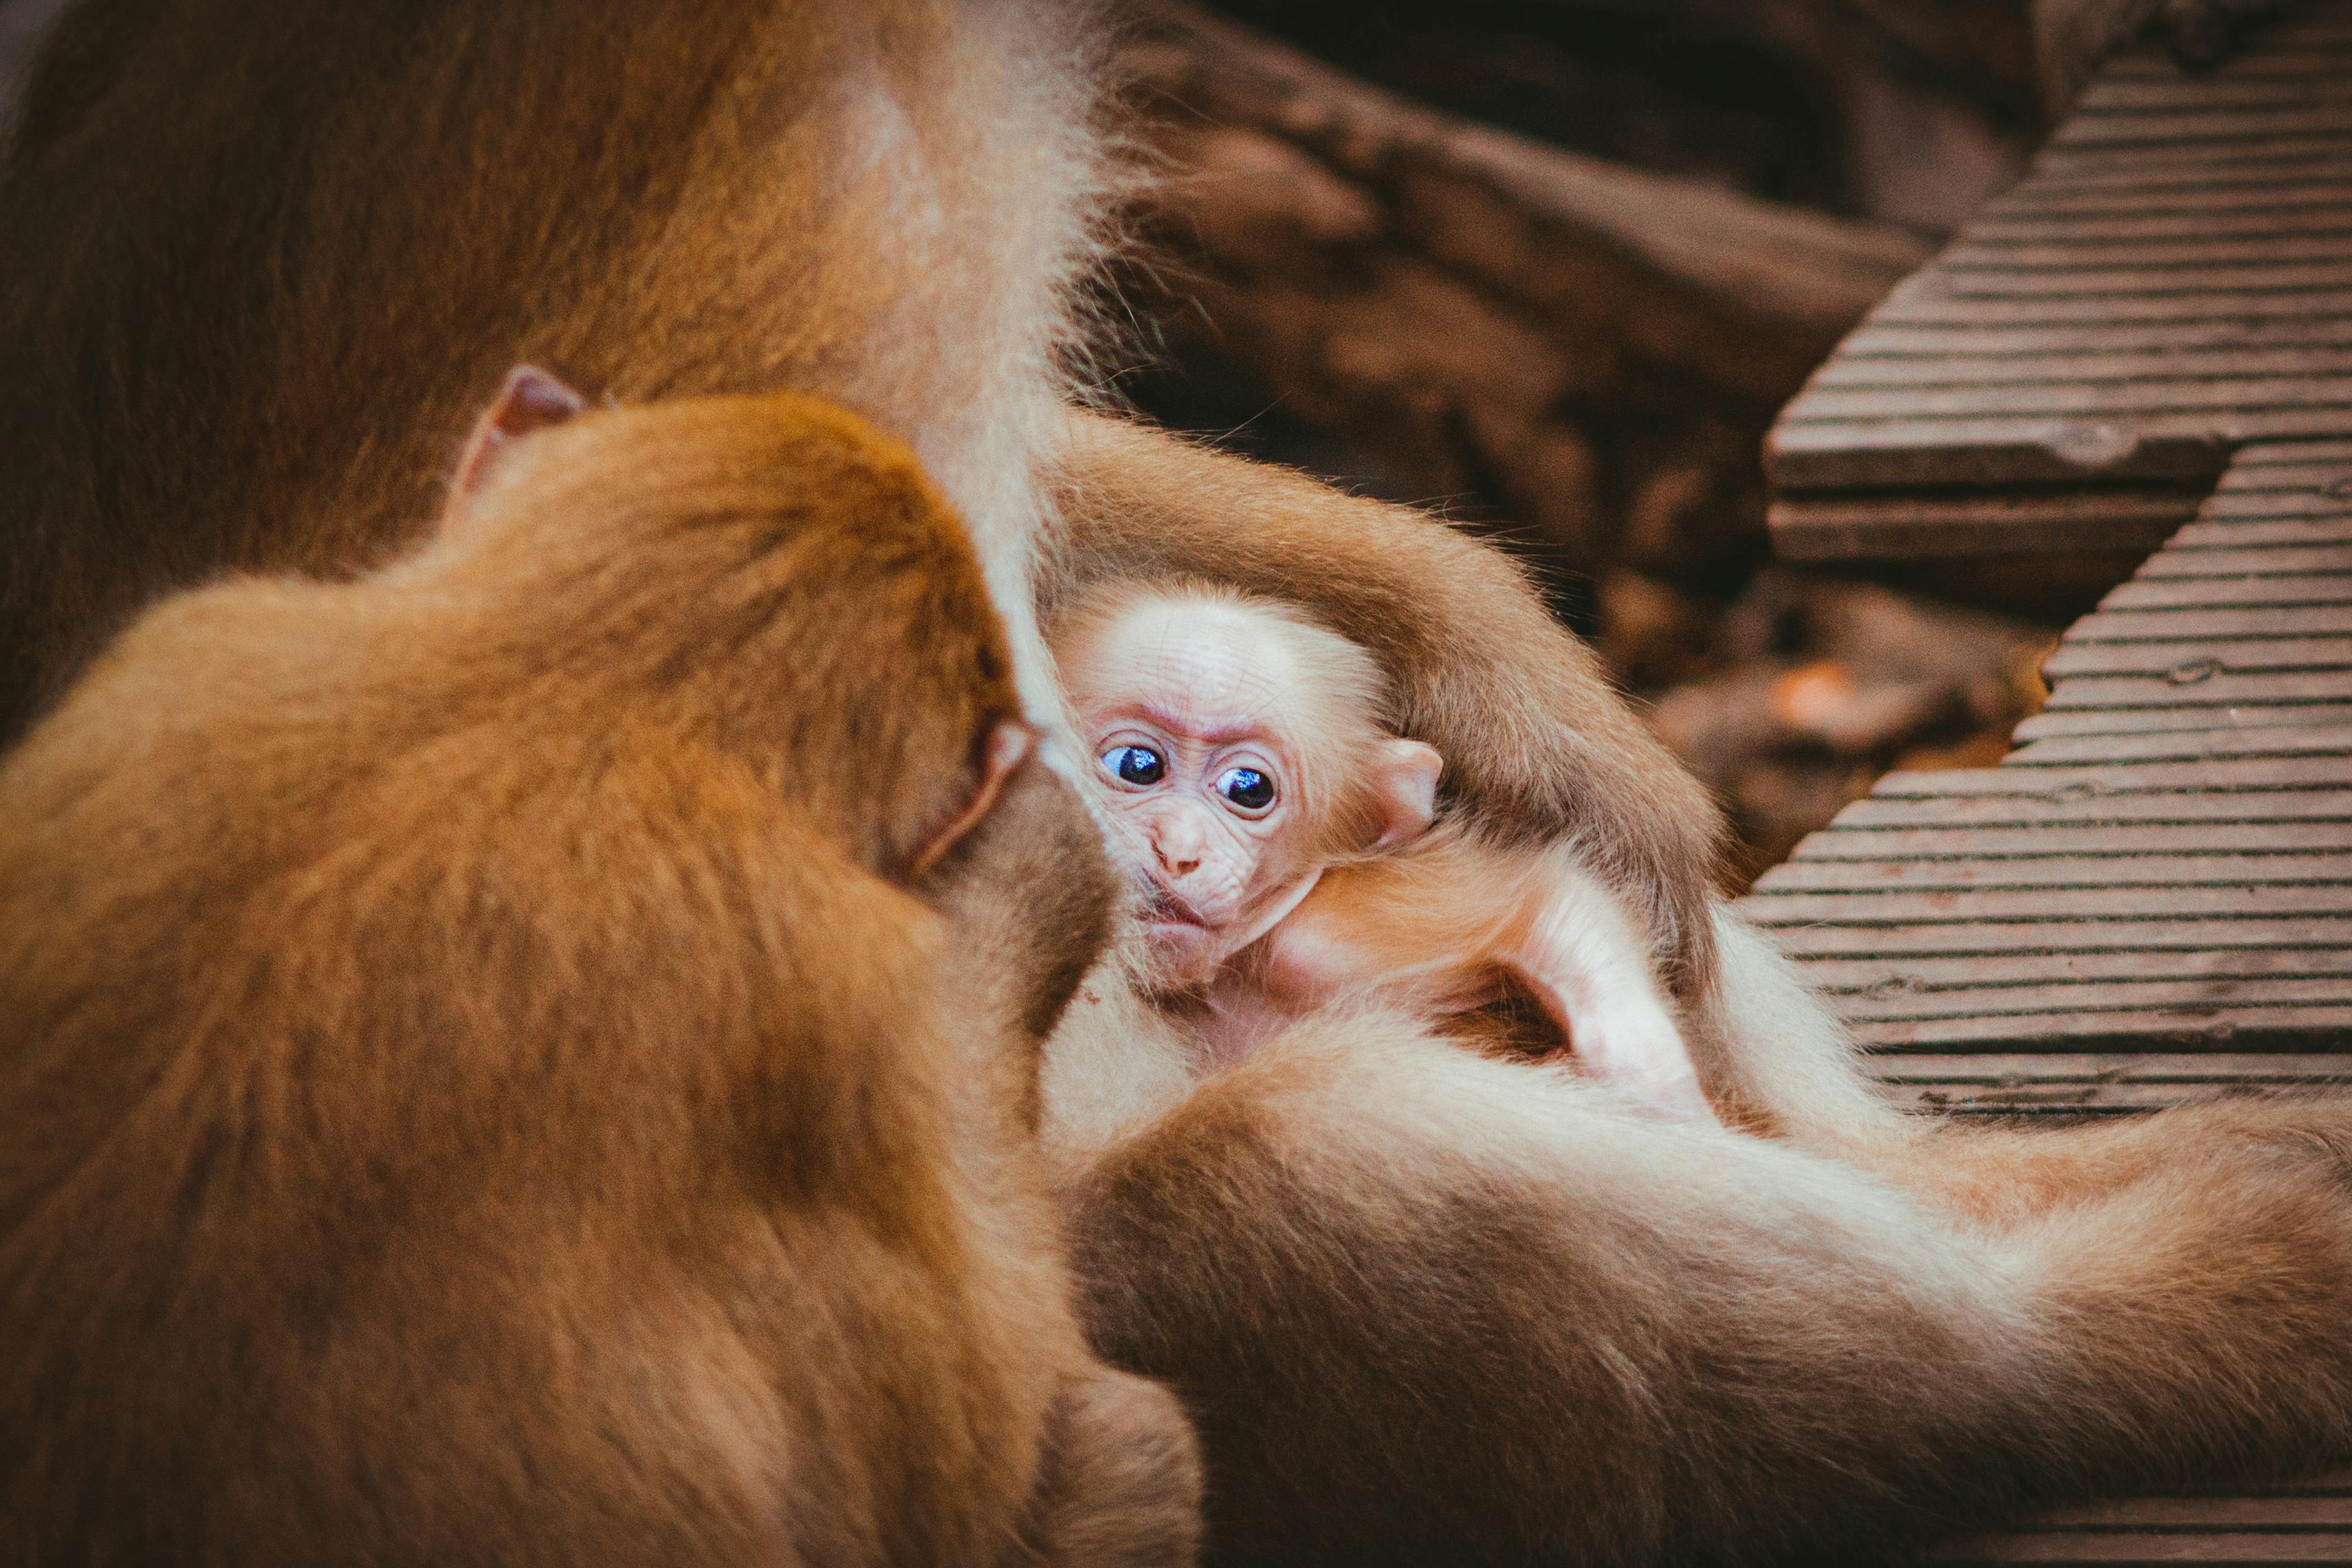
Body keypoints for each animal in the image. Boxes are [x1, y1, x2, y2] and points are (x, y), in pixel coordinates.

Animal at [1049, 578, 1712, 1123]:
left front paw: (1653, 1080)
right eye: (1136, 765)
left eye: (1248, 788)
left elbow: (1548, 902)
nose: (1178, 850)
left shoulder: (1319, 939)